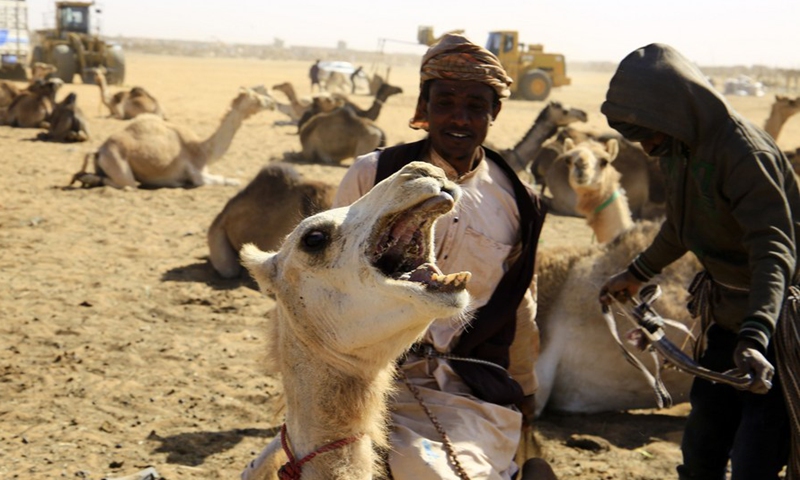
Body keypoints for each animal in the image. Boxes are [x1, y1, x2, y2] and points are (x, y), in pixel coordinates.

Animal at [70, 87, 276, 189]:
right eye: (255, 97)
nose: (271, 102)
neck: (204, 149)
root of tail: (99, 150)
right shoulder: (196, 174)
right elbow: (225, 180)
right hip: (120, 166)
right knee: (129, 184)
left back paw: (84, 178)